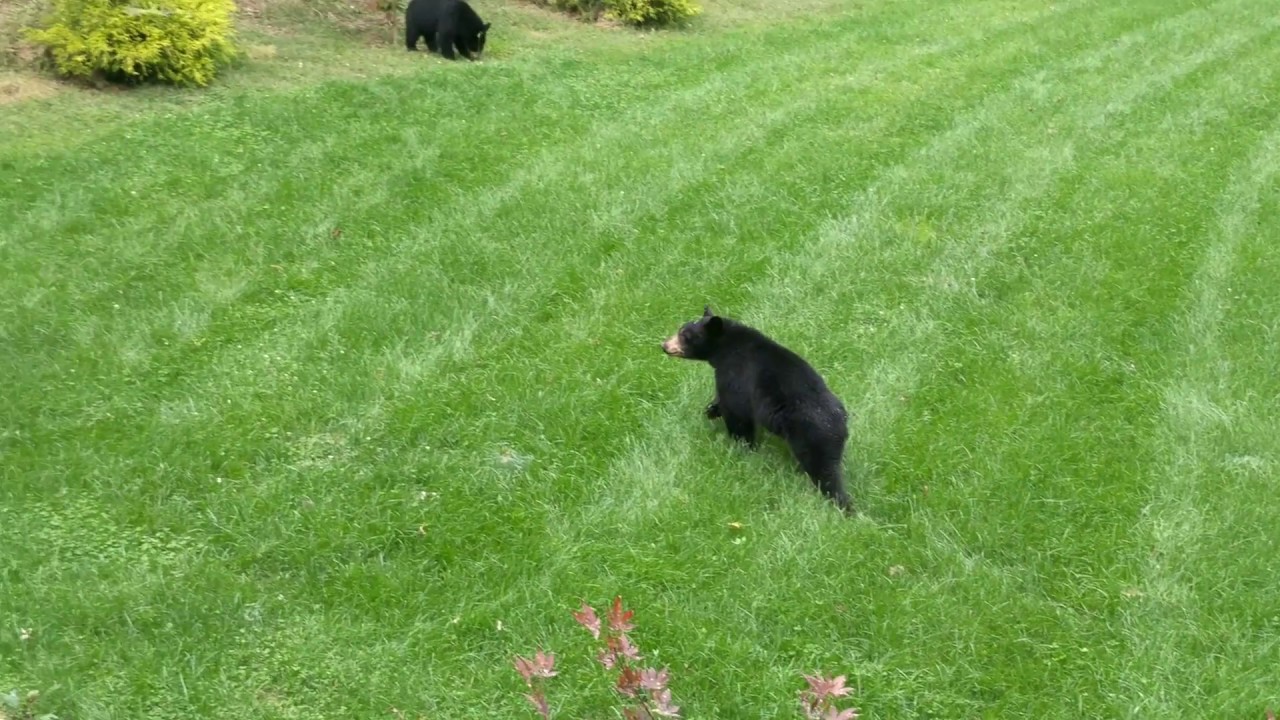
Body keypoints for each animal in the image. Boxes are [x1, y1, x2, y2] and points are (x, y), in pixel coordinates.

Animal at [662, 306, 854, 514]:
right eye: (681, 330)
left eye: (684, 335)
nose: (664, 345)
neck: (726, 347)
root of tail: (841, 424)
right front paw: (711, 409)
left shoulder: (736, 373)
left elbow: (737, 411)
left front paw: (740, 445)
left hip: (811, 436)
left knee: (825, 472)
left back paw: (841, 505)